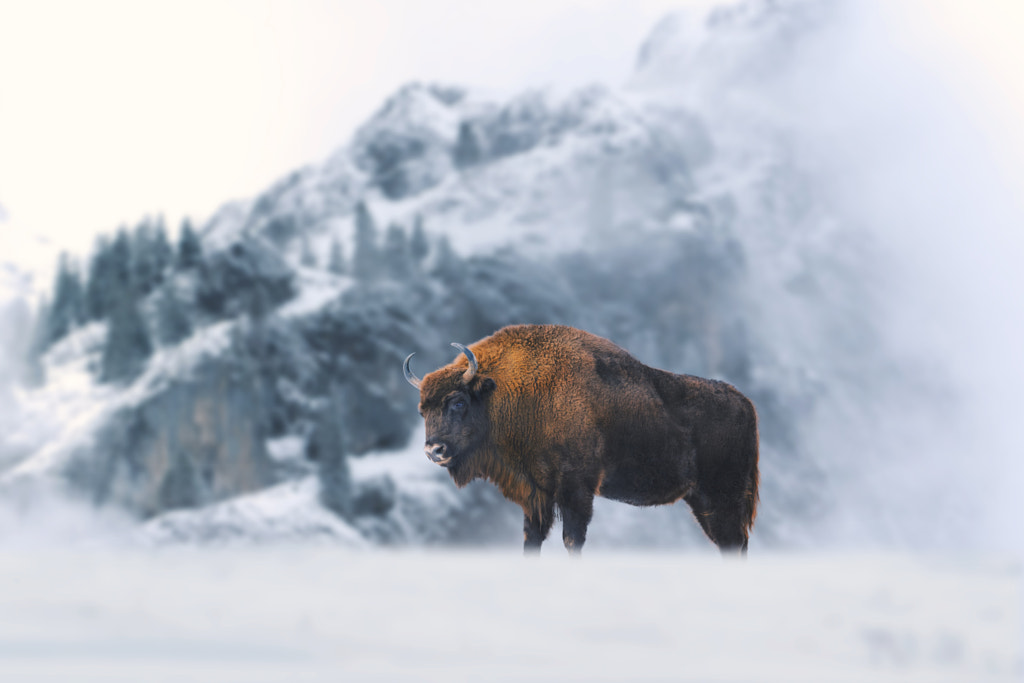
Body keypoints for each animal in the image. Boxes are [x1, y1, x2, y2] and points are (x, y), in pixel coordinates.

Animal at [403, 324, 759, 555]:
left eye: (457, 402)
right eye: (422, 410)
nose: (434, 450)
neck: (506, 393)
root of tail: (744, 403)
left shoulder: (575, 490)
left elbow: (572, 540)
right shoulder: (536, 495)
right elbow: (532, 539)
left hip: (723, 499)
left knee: (733, 543)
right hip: (703, 501)